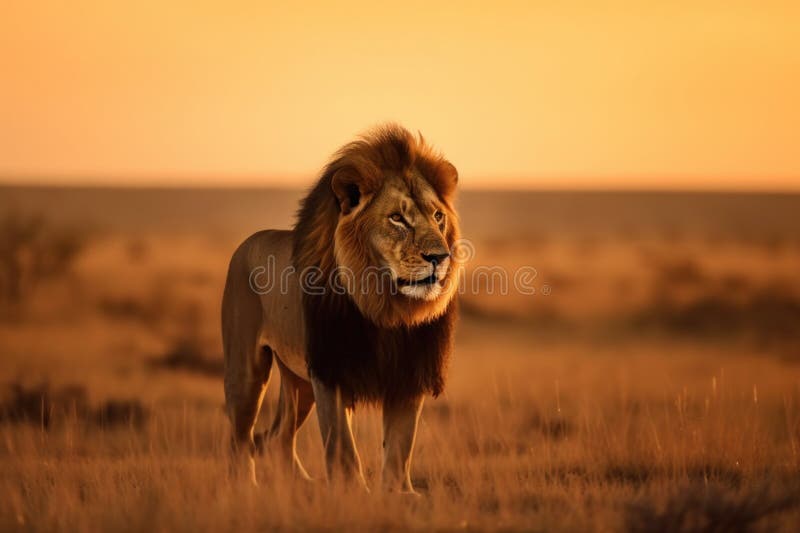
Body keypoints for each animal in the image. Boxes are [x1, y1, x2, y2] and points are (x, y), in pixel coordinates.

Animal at [222, 124, 460, 493]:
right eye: (397, 219)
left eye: (438, 216)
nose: (440, 257)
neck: (387, 308)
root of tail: (247, 242)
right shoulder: (331, 370)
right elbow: (342, 445)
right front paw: (353, 492)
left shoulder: (409, 371)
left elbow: (401, 444)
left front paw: (399, 493)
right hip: (248, 369)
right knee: (240, 437)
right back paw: (247, 488)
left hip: (298, 380)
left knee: (277, 437)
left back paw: (304, 486)